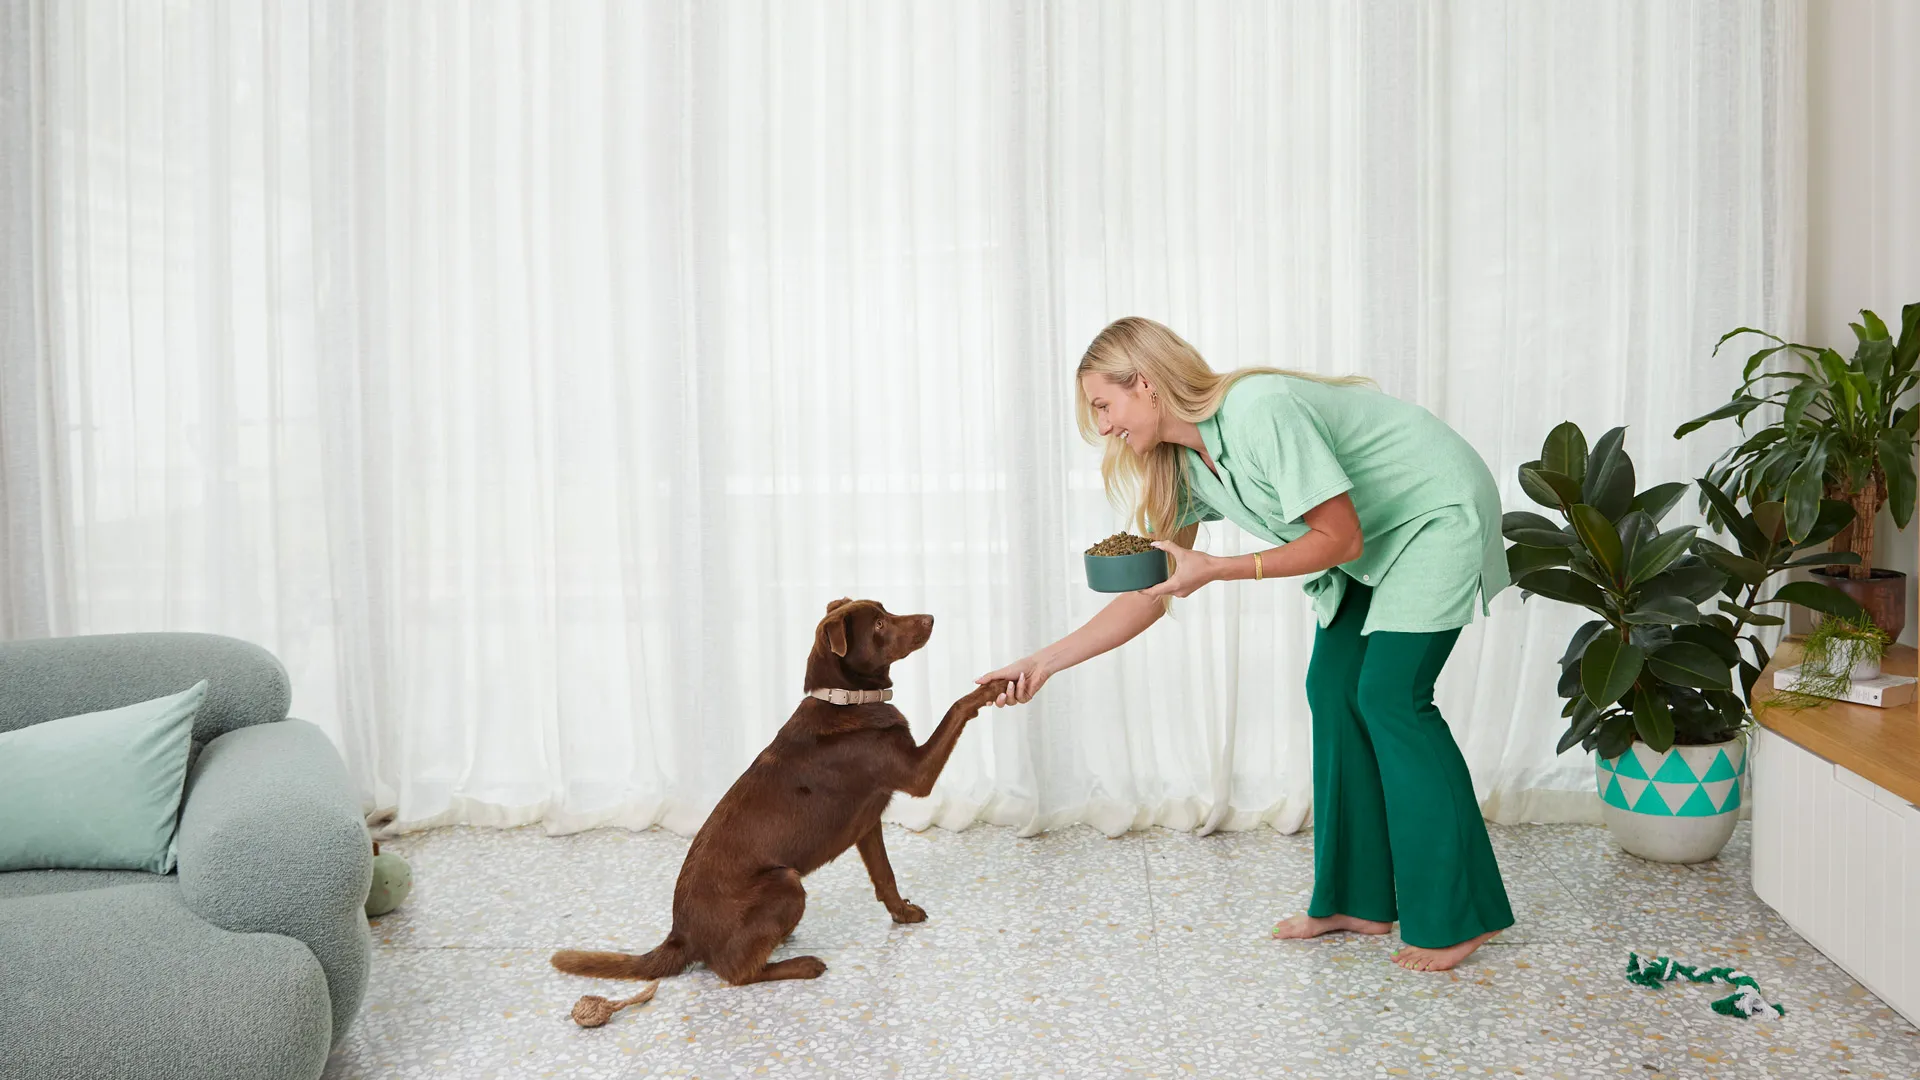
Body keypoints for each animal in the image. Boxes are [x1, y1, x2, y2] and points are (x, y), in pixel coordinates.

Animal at [549, 595, 1006, 983]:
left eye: (886, 609)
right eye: (879, 623)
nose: (930, 617)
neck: (846, 700)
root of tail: (680, 937)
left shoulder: (867, 822)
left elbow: (885, 875)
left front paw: (902, 914)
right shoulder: (917, 775)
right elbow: (956, 708)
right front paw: (993, 687)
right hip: (785, 882)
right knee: (735, 973)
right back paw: (799, 964)